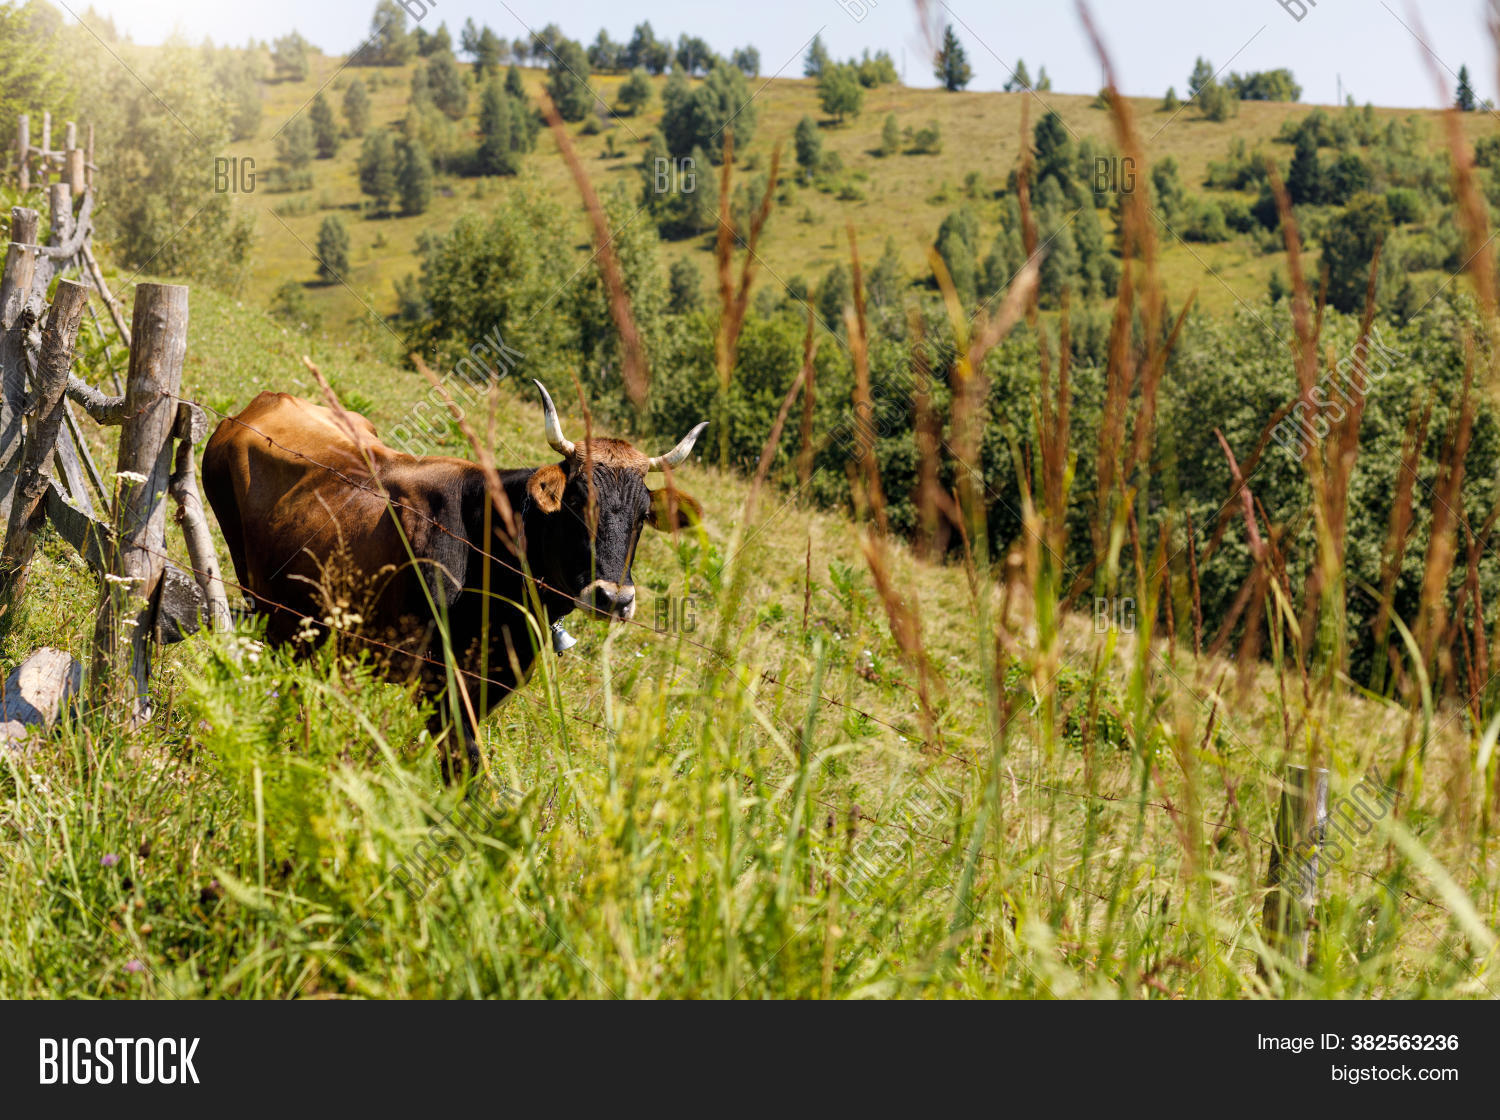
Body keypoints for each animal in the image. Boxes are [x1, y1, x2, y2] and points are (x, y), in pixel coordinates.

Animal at [201, 380, 705, 778]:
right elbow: (467, 766)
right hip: (264, 599)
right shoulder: (438, 680)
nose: (613, 598)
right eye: (578, 503)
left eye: (643, 516)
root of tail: (265, 401)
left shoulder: (492, 683)